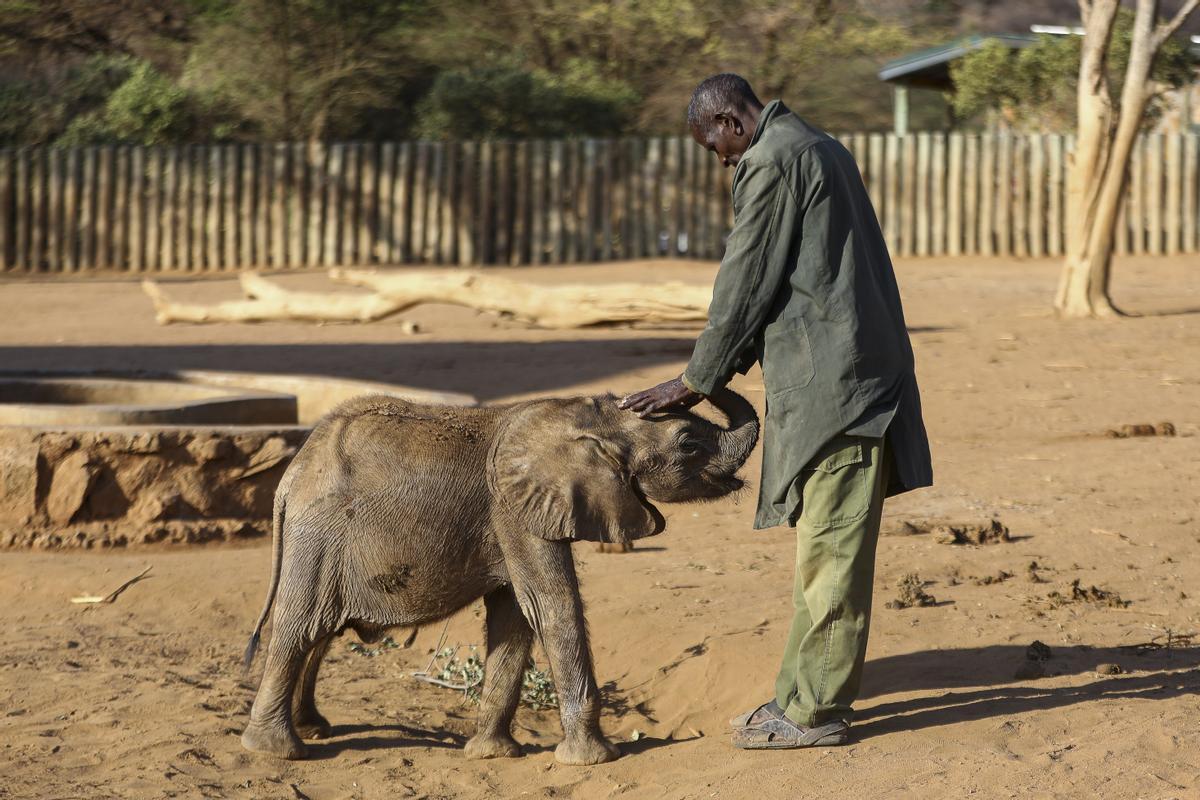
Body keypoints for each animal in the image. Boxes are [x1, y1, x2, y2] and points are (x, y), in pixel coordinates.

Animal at [240, 388, 759, 766]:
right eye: (688, 444)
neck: (585, 419)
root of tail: (291, 477)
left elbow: (515, 618)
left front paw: (492, 755)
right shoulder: (516, 511)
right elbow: (550, 607)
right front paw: (594, 760)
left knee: (321, 631)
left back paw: (314, 728)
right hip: (319, 535)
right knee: (300, 627)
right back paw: (277, 751)